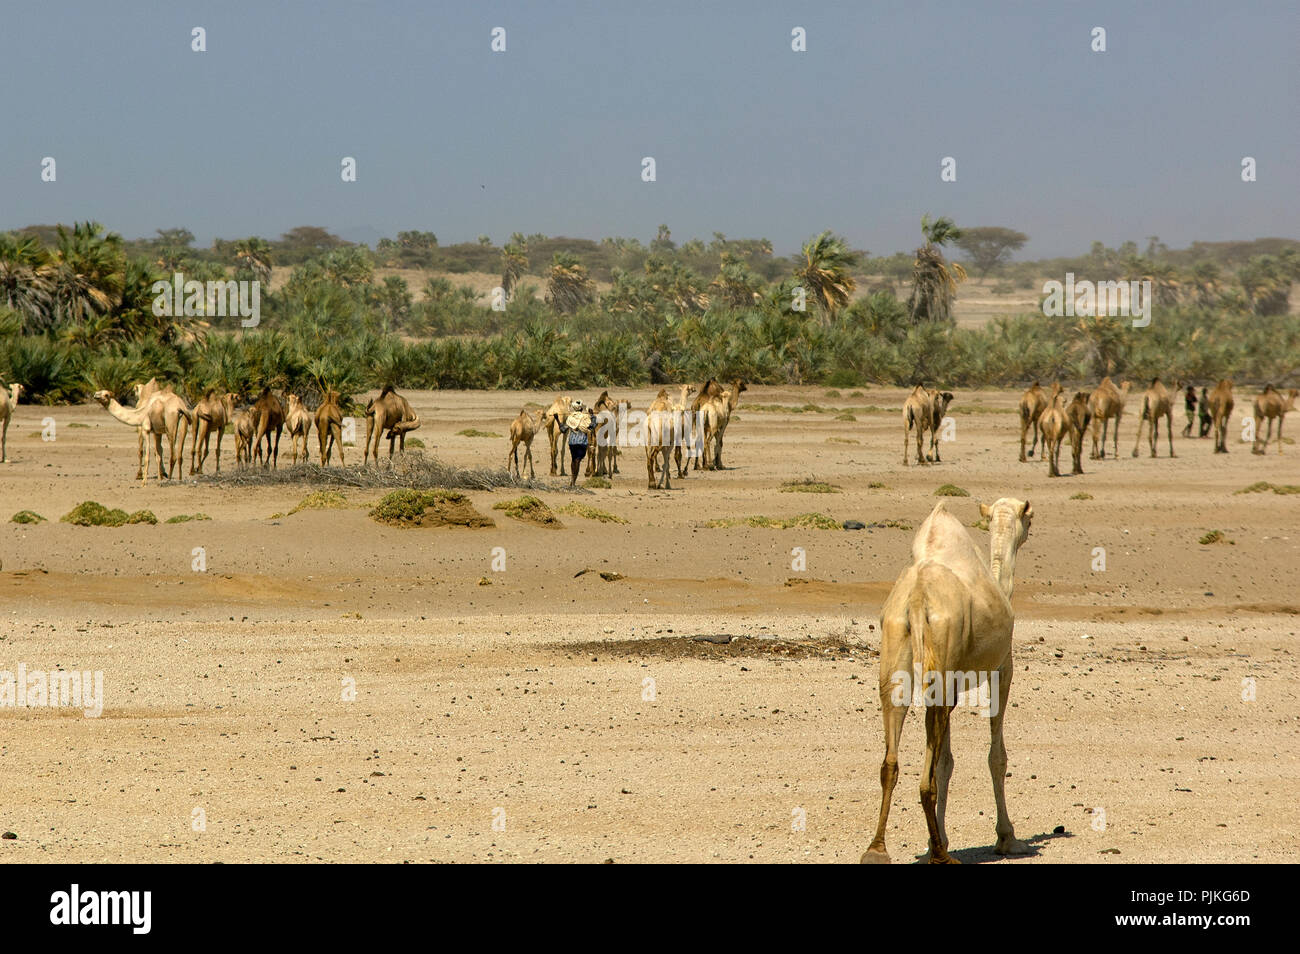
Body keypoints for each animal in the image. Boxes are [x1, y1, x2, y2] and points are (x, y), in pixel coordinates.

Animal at [864, 497, 1034, 865]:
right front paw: (1007, 838)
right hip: (942, 654)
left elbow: (946, 762)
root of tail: (916, 599)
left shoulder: (954, 683)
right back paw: (943, 855)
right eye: (1029, 517)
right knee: (926, 772)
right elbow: (996, 756)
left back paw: (877, 849)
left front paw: (935, 840)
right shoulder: (1003, 668)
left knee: (891, 754)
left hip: (896, 643)